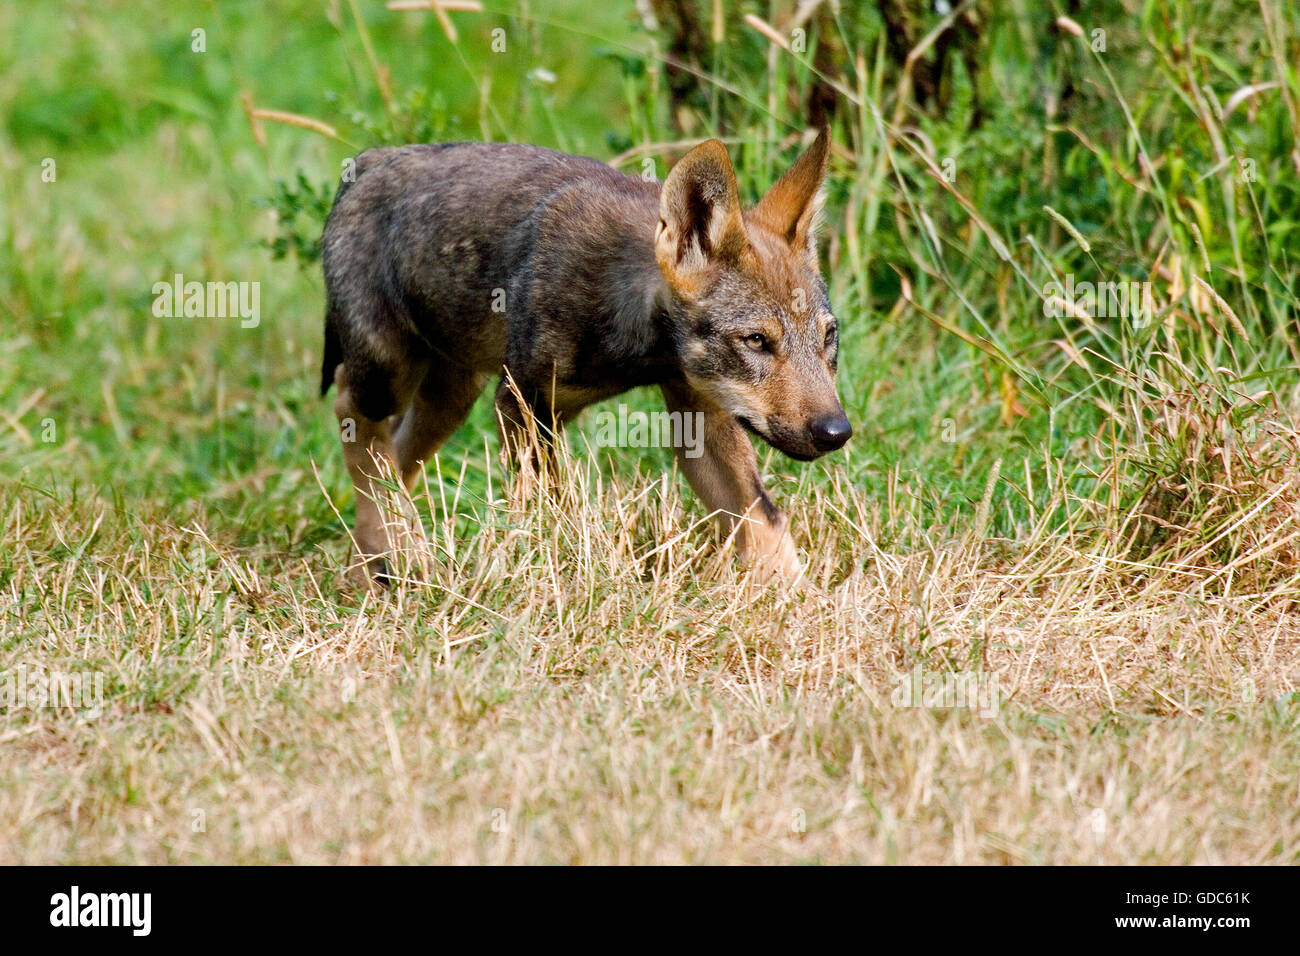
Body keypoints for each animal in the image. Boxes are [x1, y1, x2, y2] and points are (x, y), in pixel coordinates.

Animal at [320, 128, 851, 585]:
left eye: (829, 338)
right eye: (757, 341)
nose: (836, 432)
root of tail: (372, 159)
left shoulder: (700, 414)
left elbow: (765, 519)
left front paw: (805, 605)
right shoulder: (521, 404)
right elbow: (546, 514)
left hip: (451, 397)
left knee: (396, 460)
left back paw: (375, 565)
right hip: (390, 376)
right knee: (353, 413)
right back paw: (390, 554)